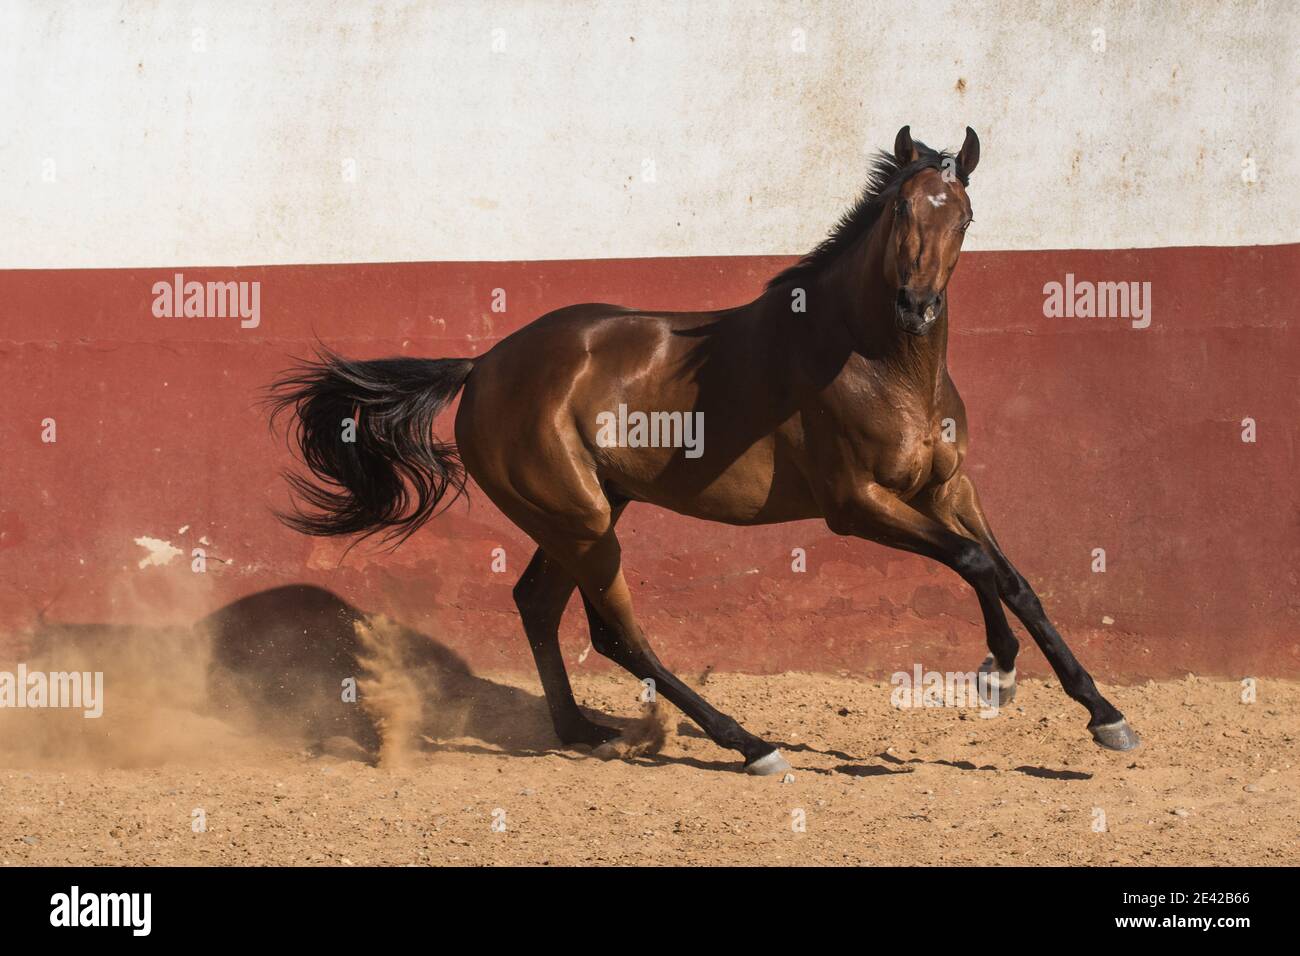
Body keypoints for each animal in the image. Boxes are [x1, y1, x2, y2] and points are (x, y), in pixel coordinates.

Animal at [269, 126, 1140, 775]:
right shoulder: (857, 505)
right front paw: (1001, 673)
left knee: (538, 606)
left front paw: (1099, 712)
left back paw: (582, 731)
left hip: (584, 515)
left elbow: (1012, 578)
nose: (917, 305)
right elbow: (975, 562)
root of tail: (482, 366)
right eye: (899, 210)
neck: (881, 361)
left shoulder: (948, 488)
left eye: (963, 214)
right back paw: (749, 745)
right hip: (584, 523)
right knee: (617, 634)